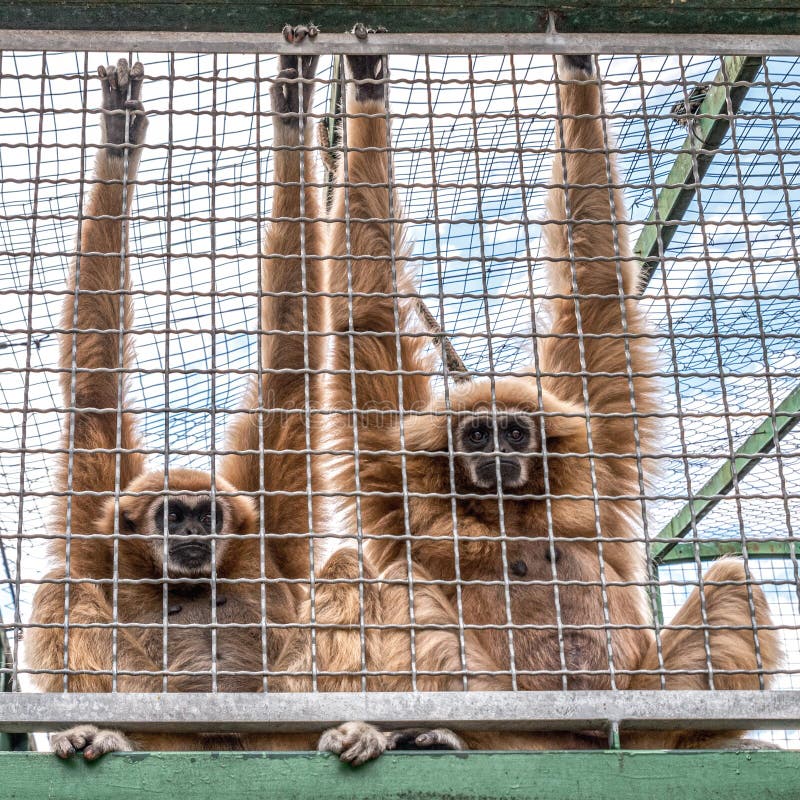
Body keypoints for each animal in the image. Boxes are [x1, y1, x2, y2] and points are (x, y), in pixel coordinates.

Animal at [312, 53, 780, 762]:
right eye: (477, 434)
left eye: (512, 431)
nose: (499, 452)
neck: (510, 511)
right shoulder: (396, 473)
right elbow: (364, 322)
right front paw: (366, 81)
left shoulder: (595, 452)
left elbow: (595, 290)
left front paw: (575, 60)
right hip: (515, 723)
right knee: (384, 575)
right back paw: (435, 730)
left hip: (643, 697)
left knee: (728, 578)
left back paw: (686, 735)